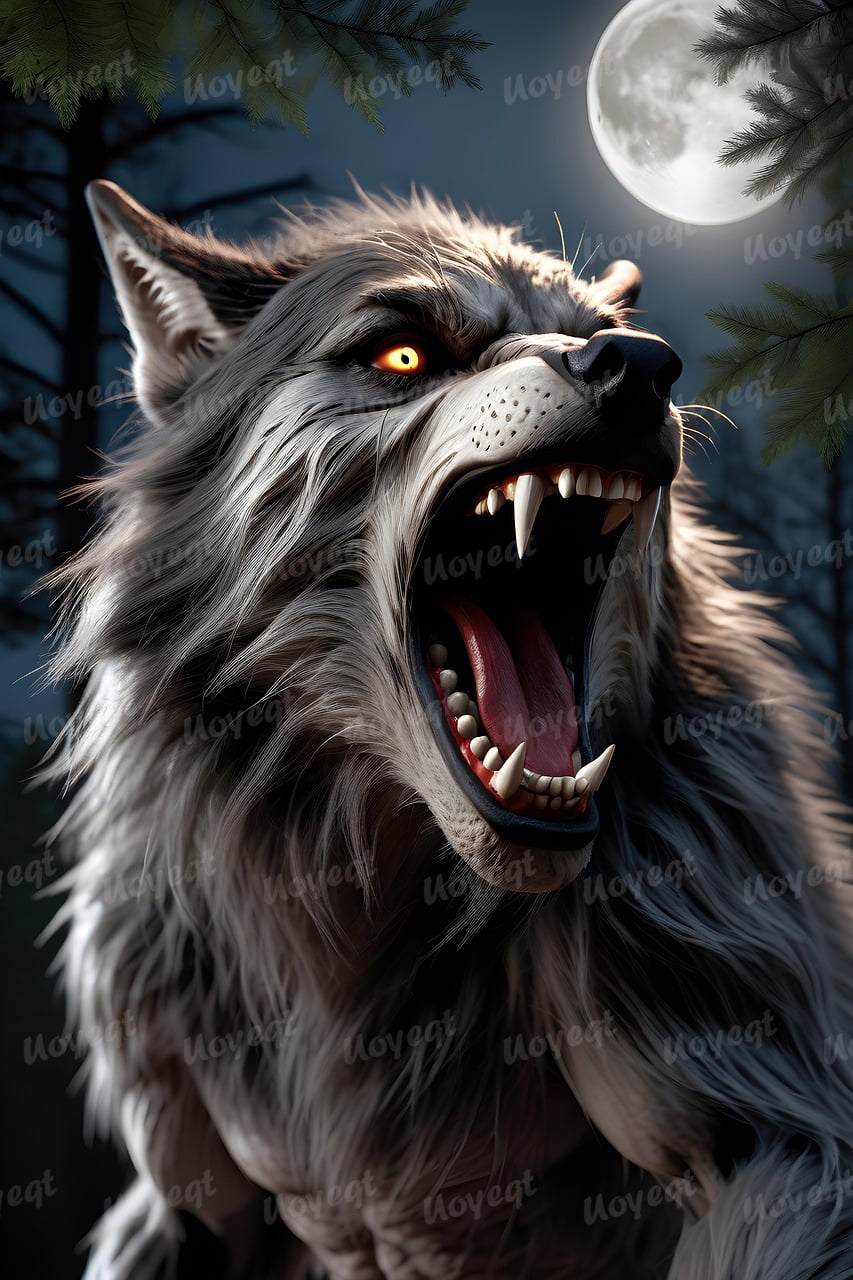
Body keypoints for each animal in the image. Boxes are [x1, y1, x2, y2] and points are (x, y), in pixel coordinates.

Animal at [46, 179, 853, 1278]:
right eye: (403, 354)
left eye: (594, 332)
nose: (639, 366)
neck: (350, 891)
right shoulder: (182, 1200)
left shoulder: (770, 1124)